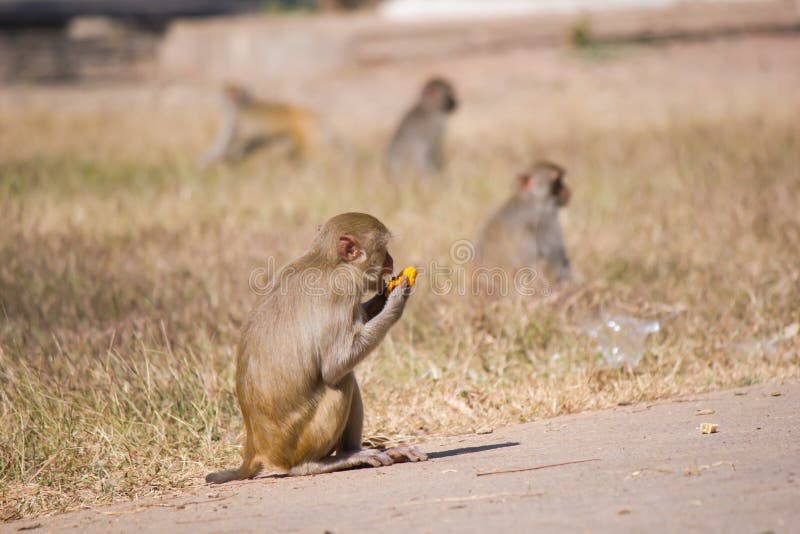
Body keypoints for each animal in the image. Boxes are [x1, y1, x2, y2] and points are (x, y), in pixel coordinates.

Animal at [206, 212, 426, 483]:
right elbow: (335, 365)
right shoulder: (342, 288)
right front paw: (396, 300)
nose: (392, 260)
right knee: (342, 381)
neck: (328, 260)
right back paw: (318, 464)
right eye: (384, 250)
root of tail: (256, 444)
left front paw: (384, 296)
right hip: (296, 442)